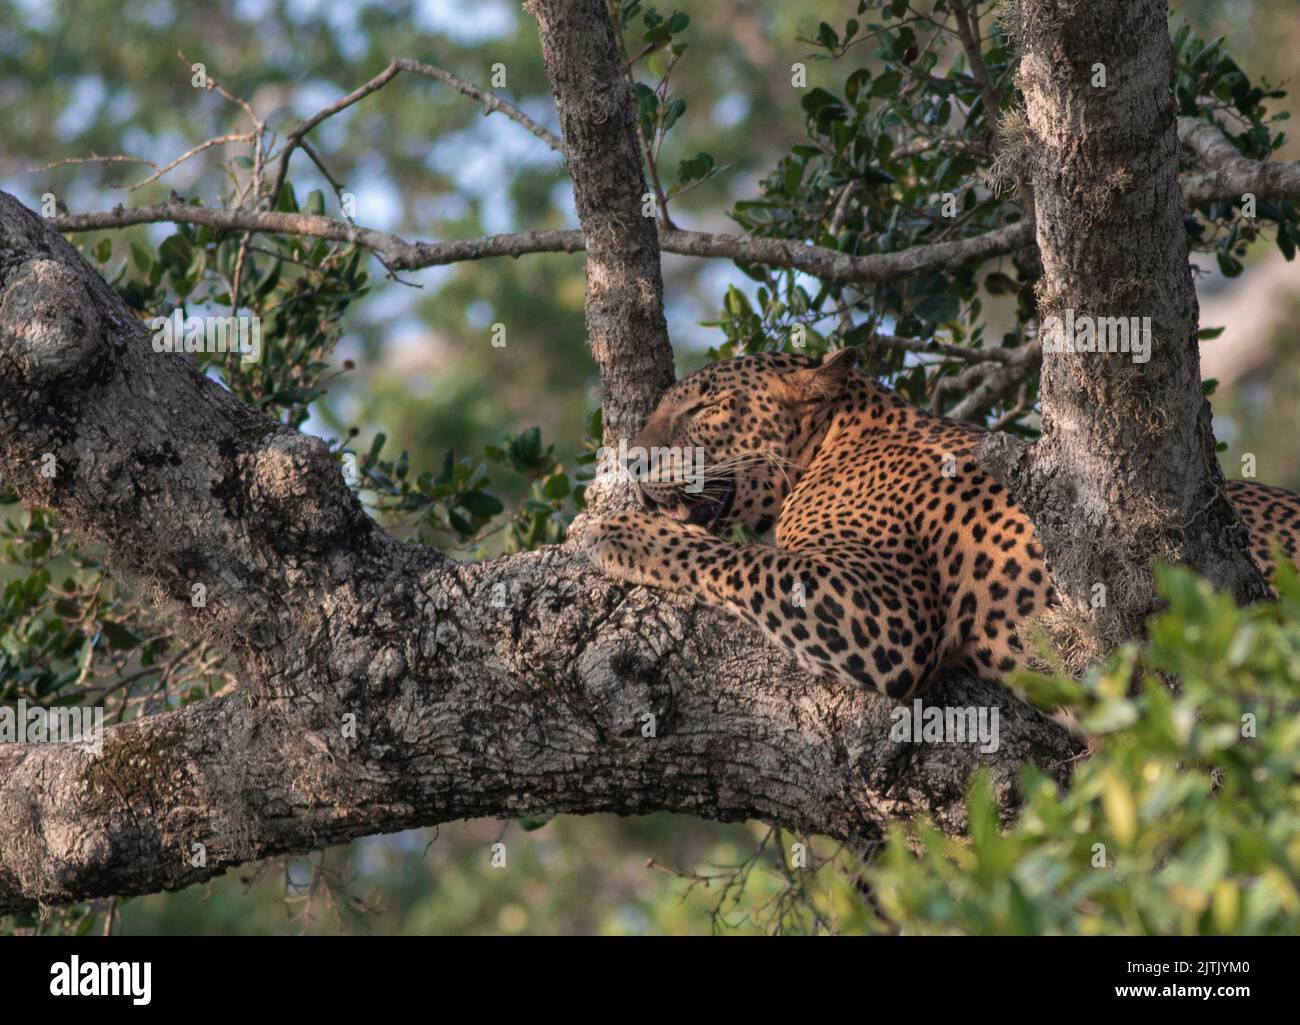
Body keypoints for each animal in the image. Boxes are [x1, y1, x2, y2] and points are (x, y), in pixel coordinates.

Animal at [584, 348, 1300, 700]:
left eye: (705, 407)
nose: (631, 458)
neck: (835, 441)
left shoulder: (884, 614)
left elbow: (739, 557)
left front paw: (616, 535)